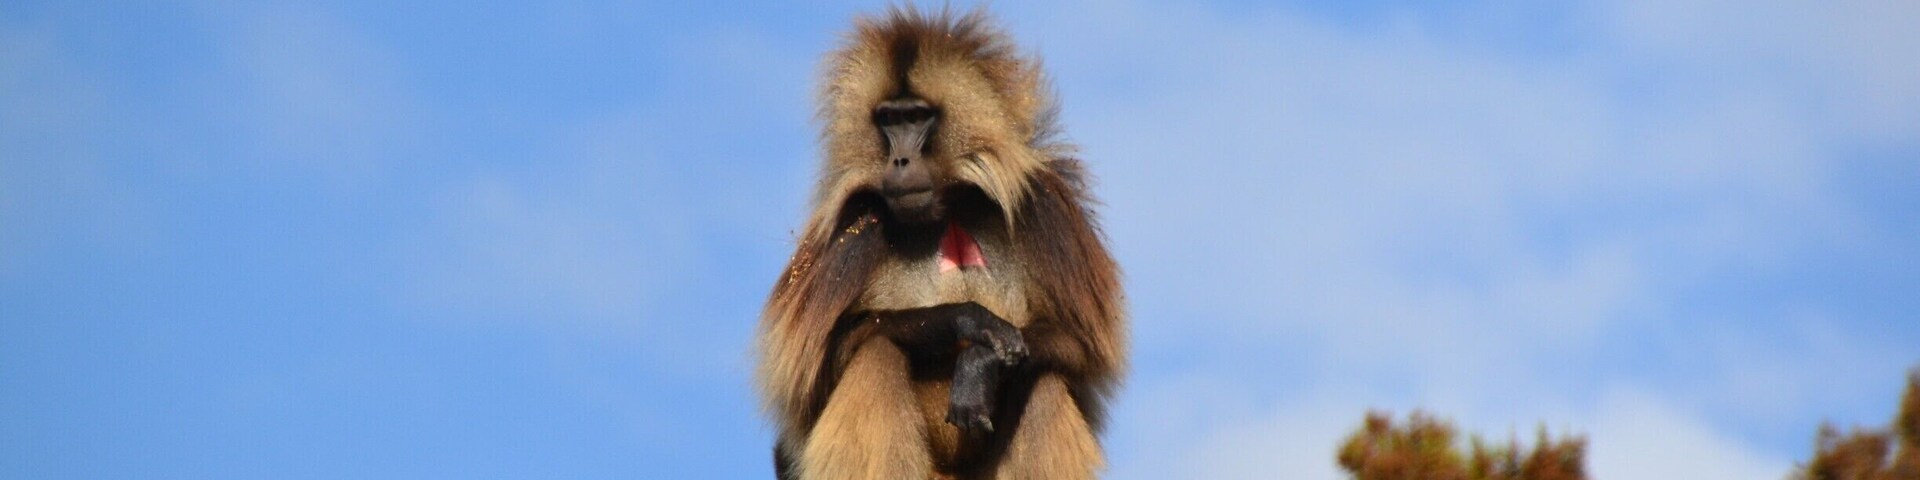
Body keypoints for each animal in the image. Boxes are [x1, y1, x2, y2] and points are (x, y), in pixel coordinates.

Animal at [756, 6, 1125, 480]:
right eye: (888, 120)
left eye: (917, 117)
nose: (900, 161)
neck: (945, 209)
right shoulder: (852, 233)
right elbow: (816, 372)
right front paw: (970, 321)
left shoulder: (1047, 210)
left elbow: (1078, 349)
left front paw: (979, 364)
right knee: (876, 351)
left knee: (1043, 374)